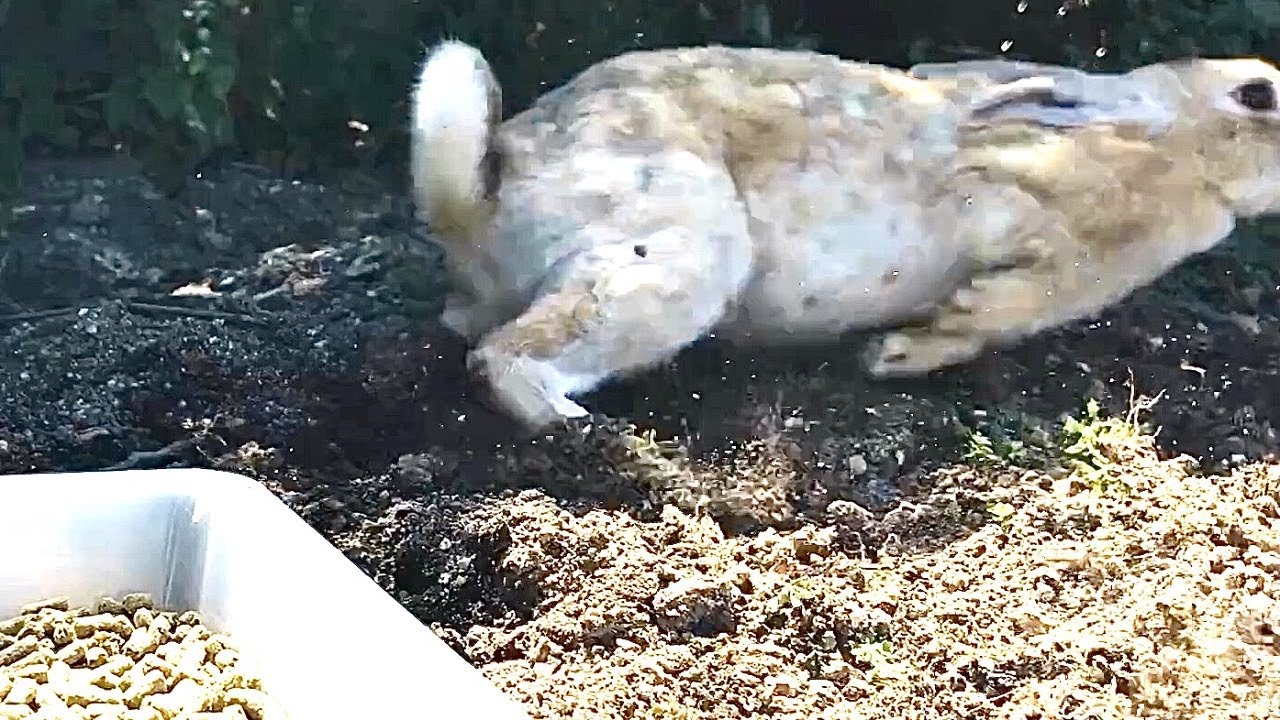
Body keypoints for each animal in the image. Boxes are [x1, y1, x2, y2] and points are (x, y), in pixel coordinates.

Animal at [409, 39, 1280, 430]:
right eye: (1258, 93)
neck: (1182, 154)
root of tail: (477, 205)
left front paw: (893, 357)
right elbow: (1004, 294)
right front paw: (909, 346)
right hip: (669, 257)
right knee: (505, 354)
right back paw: (572, 423)